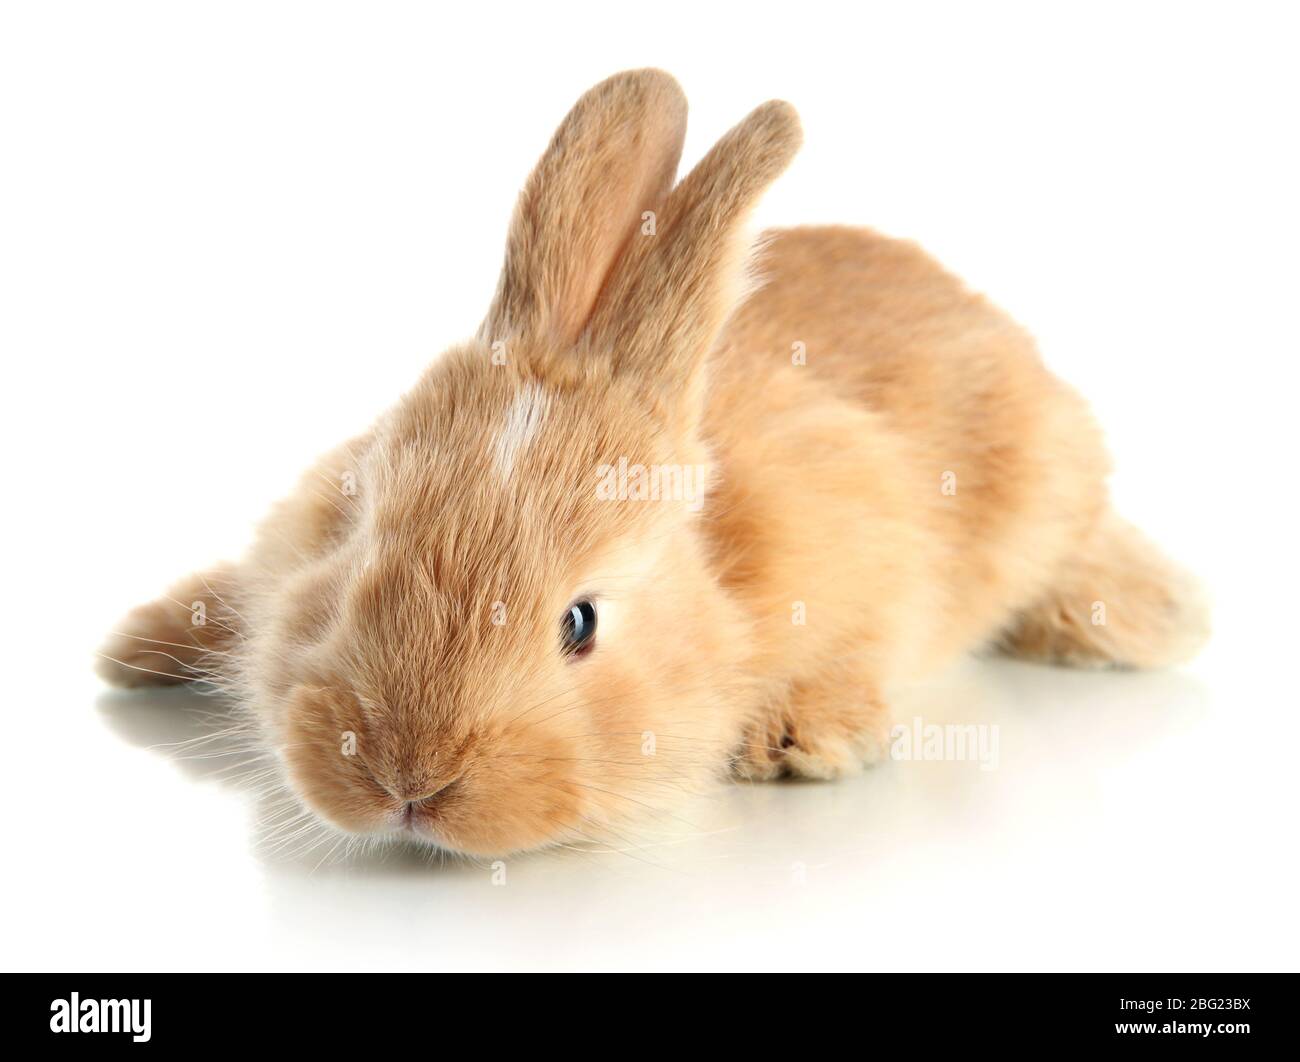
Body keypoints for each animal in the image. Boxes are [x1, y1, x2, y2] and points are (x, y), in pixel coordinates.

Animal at [98, 69, 1209, 857]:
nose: (409, 779)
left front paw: (802, 740)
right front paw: (143, 644)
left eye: (580, 624)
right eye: (360, 553)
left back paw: (1145, 619)